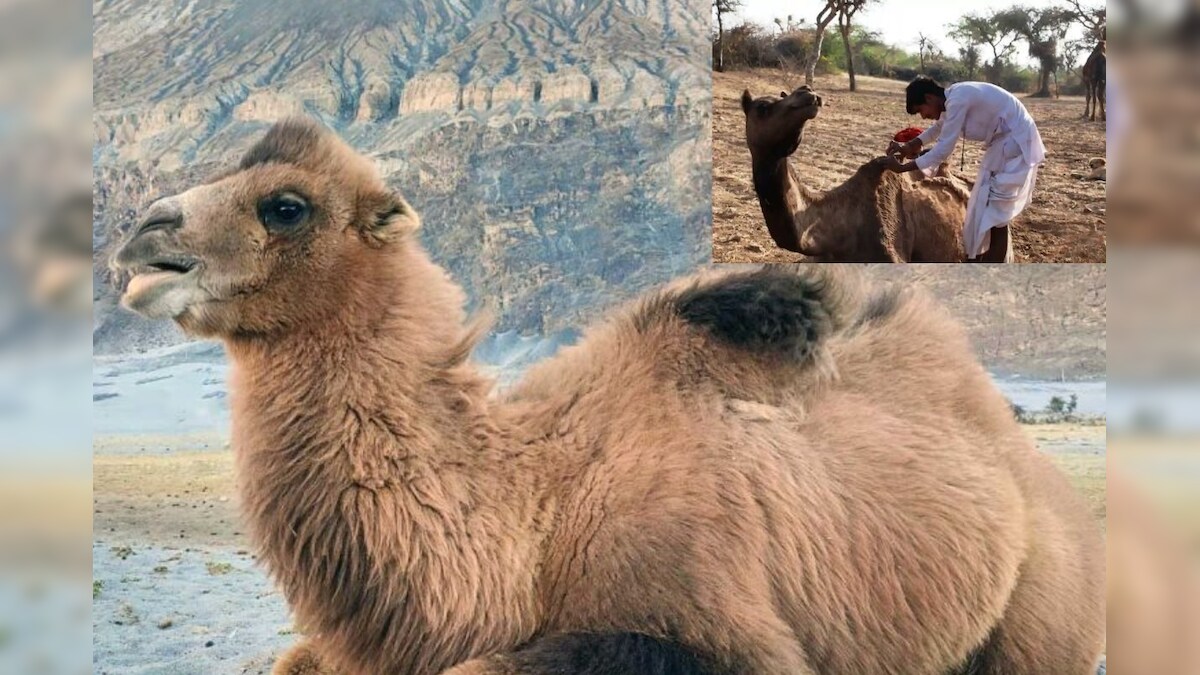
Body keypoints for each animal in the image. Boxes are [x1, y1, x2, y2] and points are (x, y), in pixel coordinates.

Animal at [111, 117, 1105, 675]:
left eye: (285, 205)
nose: (141, 238)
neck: (532, 514)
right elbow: (289, 661)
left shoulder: (720, 636)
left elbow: (483, 670)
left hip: (1043, 622)